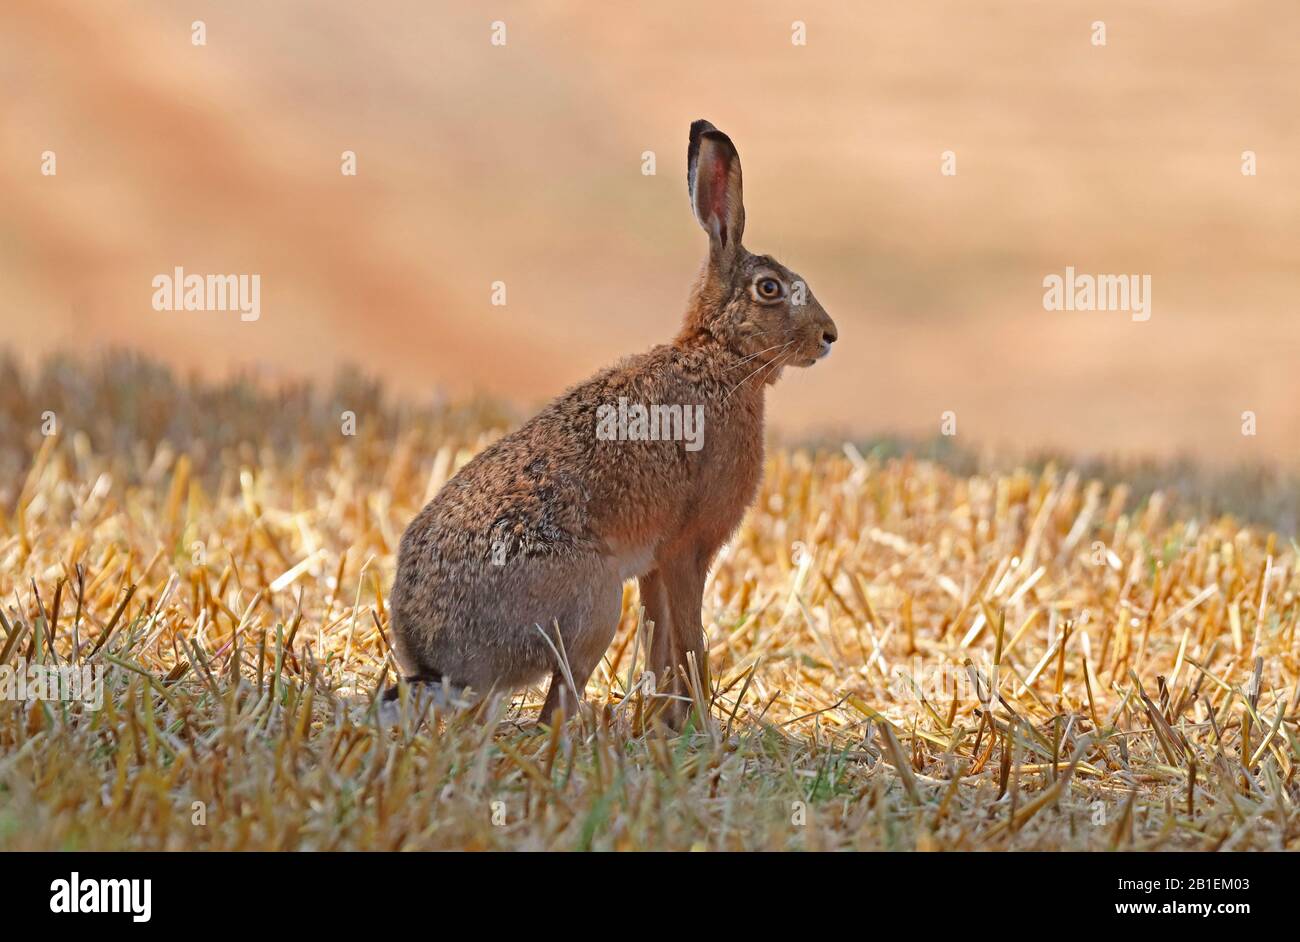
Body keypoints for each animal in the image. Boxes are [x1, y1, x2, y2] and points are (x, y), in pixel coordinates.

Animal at [387, 119, 838, 726]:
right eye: (769, 288)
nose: (829, 336)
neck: (719, 355)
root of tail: (434, 658)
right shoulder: (686, 549)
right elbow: (690, 640)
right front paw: (703, 726)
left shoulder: (653, 563)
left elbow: (661, 643)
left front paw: (667, 723)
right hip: (596, 605)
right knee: (555, 710)